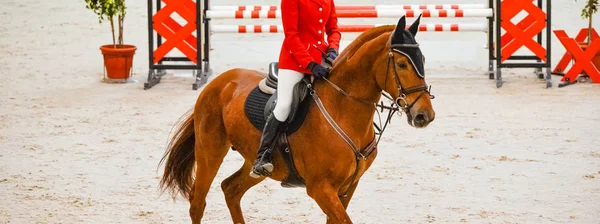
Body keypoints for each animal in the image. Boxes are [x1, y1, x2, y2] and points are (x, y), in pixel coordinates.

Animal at [159, 14, 436, 223]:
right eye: (402, 64)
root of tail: (217, 82)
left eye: (422, 59)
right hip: (210, 151)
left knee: (231, 189)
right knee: (197, 201)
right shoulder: (321, 189)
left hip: (253, 162)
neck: (343, 109)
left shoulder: (347, 187)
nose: (425, 115)